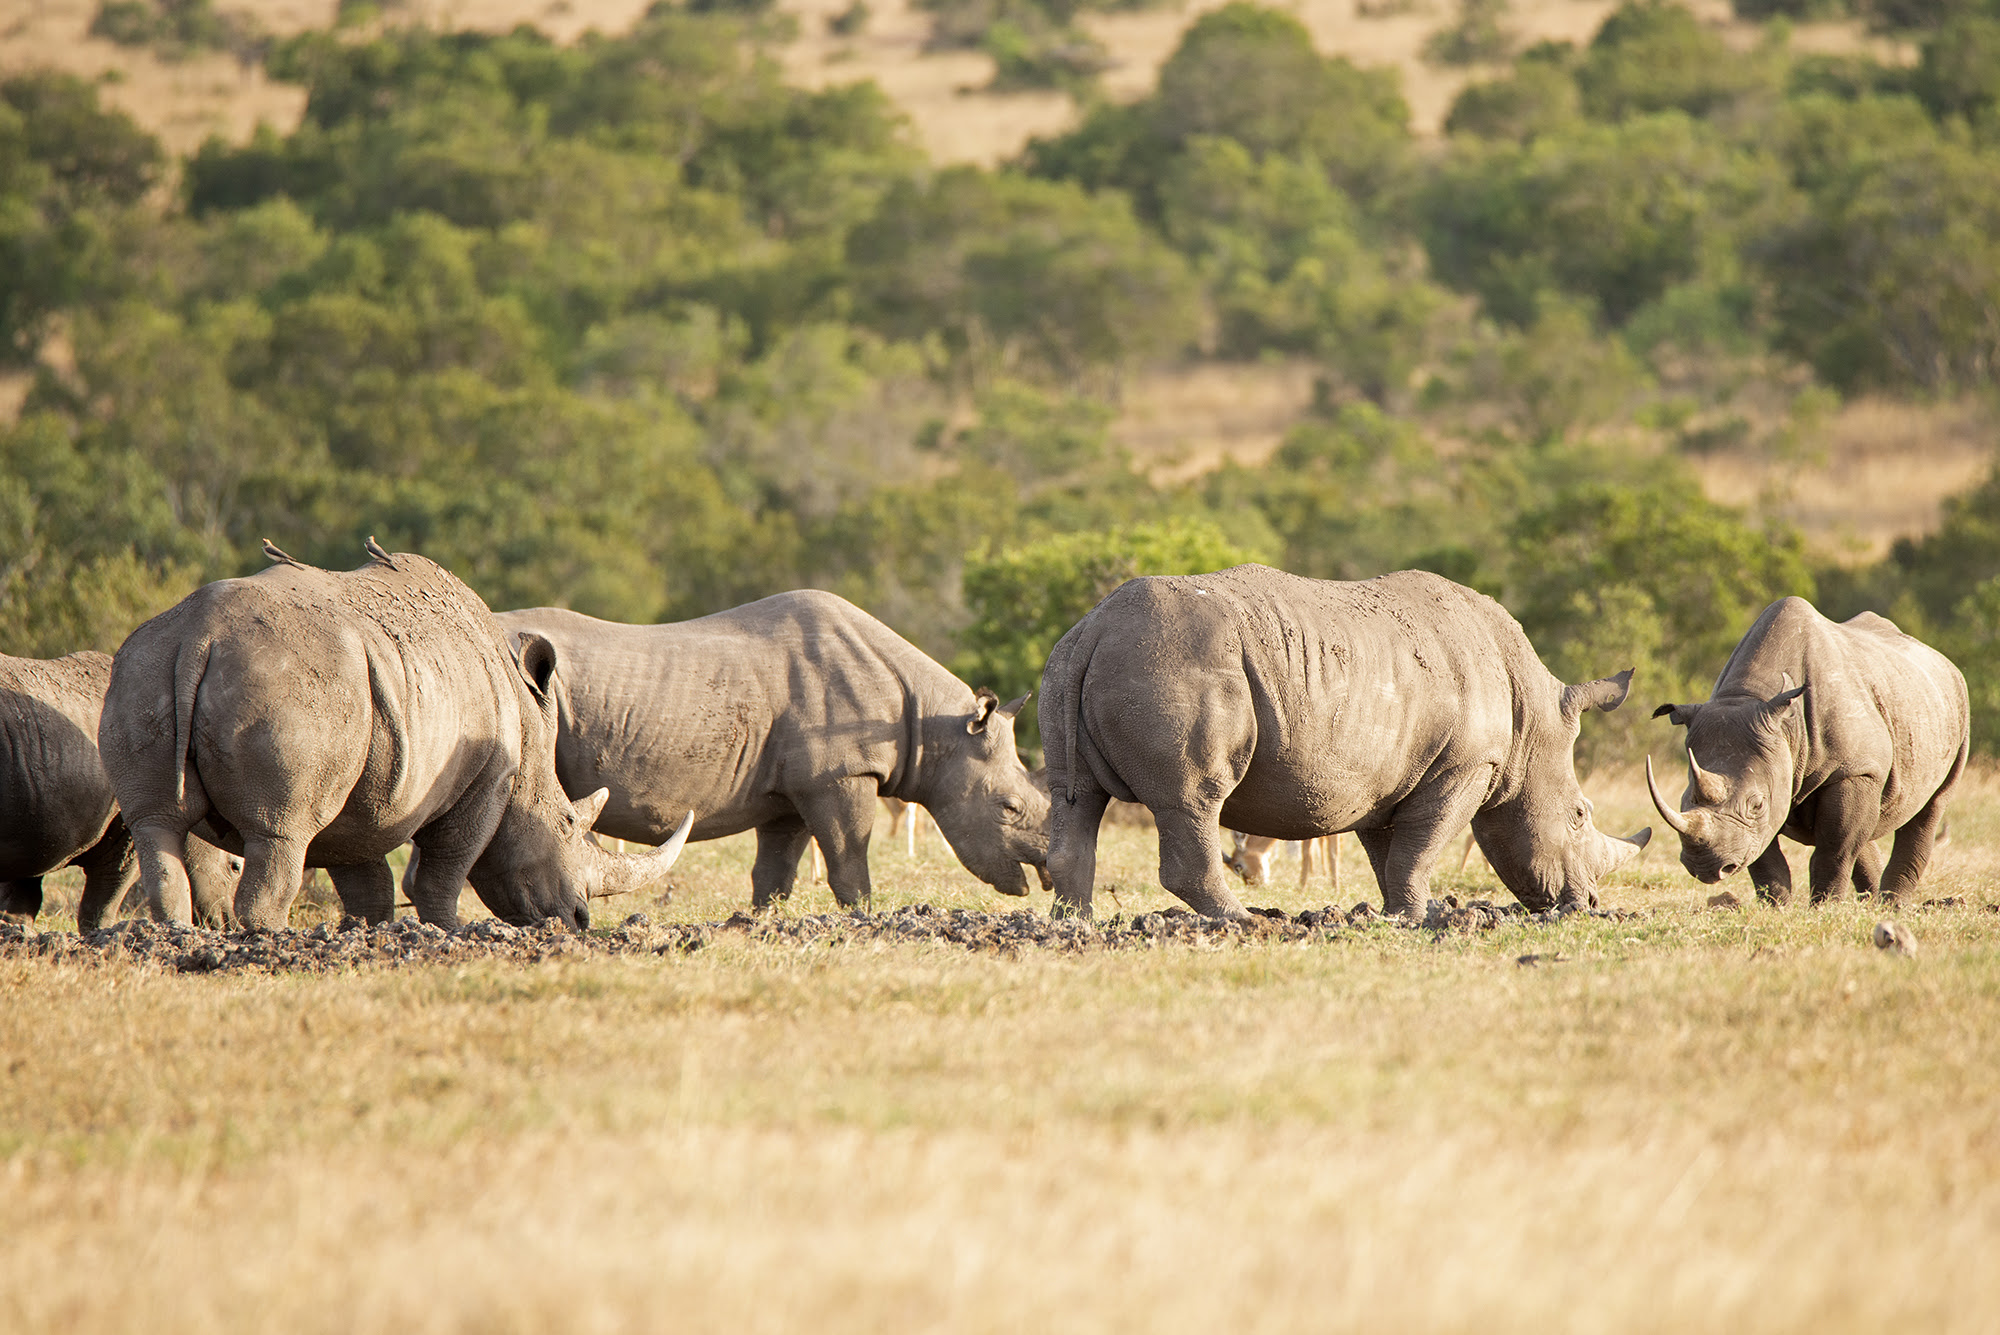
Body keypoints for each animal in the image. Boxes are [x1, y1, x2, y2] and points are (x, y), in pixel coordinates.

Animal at [2, 651, 239, 929]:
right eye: (234, 868)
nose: (233, 927)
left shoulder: (37, 824)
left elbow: (19, 904)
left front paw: (16, 932)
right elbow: (104, 901)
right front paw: (103, 935)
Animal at [99, 541, 690, 933]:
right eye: (568, 824)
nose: (579, 920)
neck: (526, 724)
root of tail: (201, 634)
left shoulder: (364, 790)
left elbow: (365, 877)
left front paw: (366, 935)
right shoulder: (490, 780)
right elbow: (445, 870)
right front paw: (447, 934)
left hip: (145, 667)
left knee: (156, 823)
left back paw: (172, 937)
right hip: (289, 688)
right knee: (280, 835)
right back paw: (271, 940)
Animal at [494, 591, 1051, 911]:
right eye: (1009, 808)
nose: (1048, 866)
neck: (932, 724)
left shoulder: (795, 789)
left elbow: (776, 872)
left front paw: (764, 922)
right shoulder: (840, 775)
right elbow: (850, 860)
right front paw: (864, 919)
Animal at [1040, 566, 1650, 920]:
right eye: (1578, 815)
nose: (1588, 904)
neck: (1531, 726)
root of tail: (1094, 627)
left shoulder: (1393, 774)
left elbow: (1391, 851)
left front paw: (1394, 914)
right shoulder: (1465, 767)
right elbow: (1422, 846)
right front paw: (1419, 920)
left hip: (1069, 663)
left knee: (1077, 799)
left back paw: (1074, 928)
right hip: (1173, 661)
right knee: (1194, 798)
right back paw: (1245, 924)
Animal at [1646, 597, 1969, 905]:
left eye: (1756, 804)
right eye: (1684, 799)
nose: (1706, 867)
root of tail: (1944, 661)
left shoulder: (1854, 770)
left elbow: (1834, 848)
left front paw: (1825, 908)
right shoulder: (1777, 778)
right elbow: (1765, 856)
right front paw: (1777, 908)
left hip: (1955, 704)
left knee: (1930, 809)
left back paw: (1892, 907)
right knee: (1865, 828)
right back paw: (1874, 905)